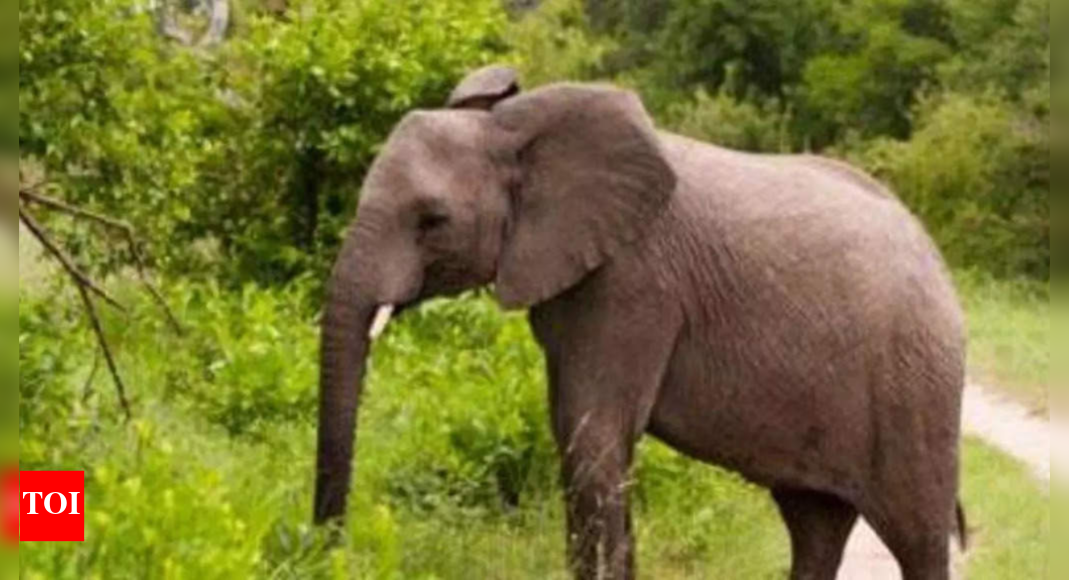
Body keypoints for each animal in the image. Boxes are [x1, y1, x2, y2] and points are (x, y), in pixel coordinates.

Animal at [313, 65, 967, 580]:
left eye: (432, 220)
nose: (330, 548)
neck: (516, 127)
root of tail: (937, 259)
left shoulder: (634, 281)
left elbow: (592, 436)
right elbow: (581, 436)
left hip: (915, 386)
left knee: (918, 537)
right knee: (815, 525)